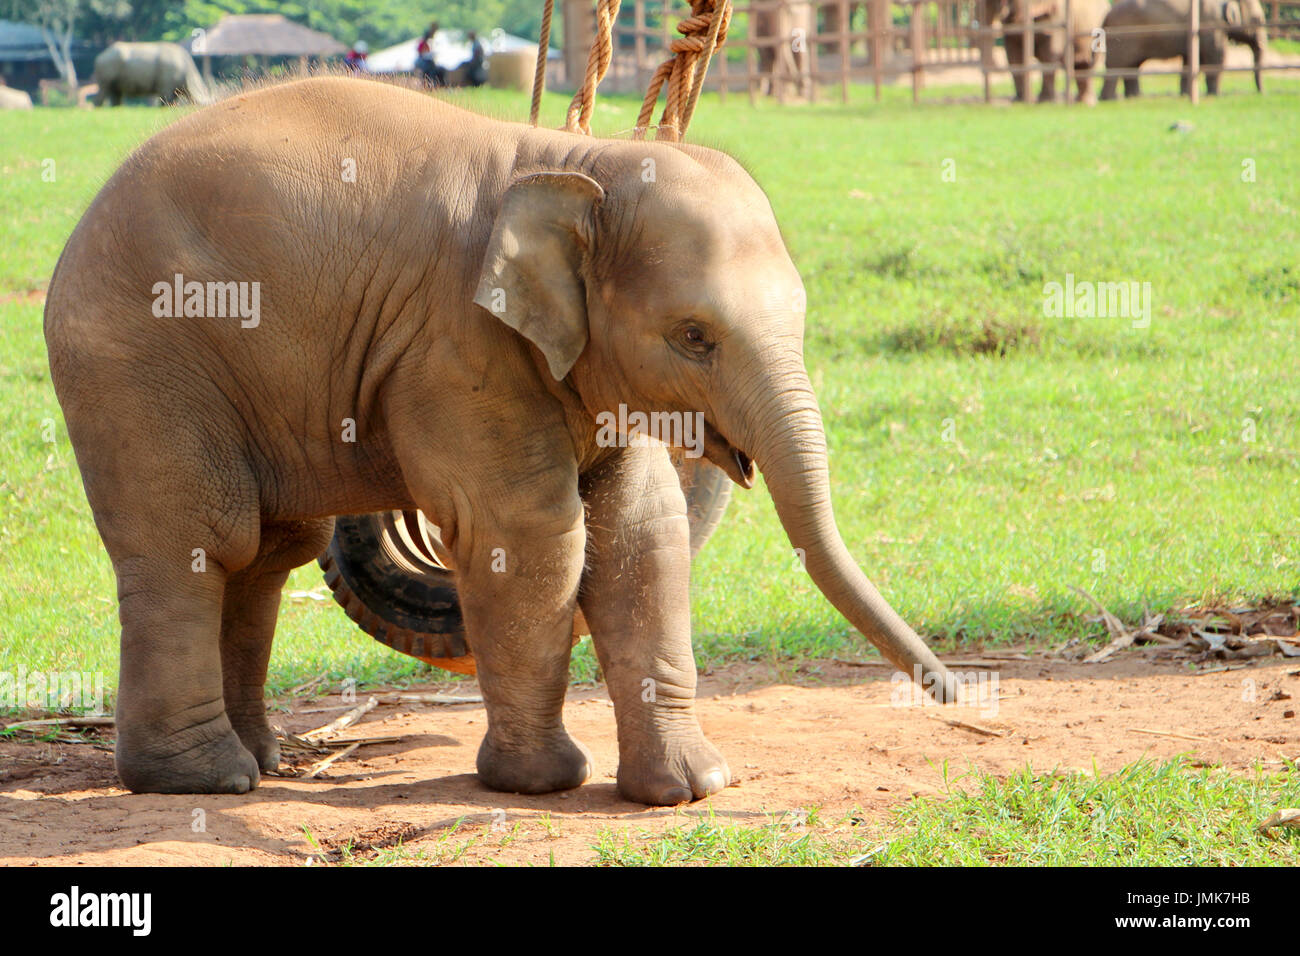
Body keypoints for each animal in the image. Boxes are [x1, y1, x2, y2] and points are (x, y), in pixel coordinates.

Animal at [44, 76, 955, 804]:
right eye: (694, 337)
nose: (952, 694)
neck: (578, 161)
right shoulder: (456, 348)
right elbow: (530, 534)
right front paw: (542, 783)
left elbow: (642, 531)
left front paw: (690, 787)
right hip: (141, 368)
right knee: (196, 542)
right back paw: (203, 779)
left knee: (268, 552)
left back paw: (262, 761)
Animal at [1100, 0, 1267, 99]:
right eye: (1258, 20)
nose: (1261, 93)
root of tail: (1106, 15)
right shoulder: (1211, 25)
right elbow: (1216, 57)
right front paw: (1215, 95)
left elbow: (1190, 60)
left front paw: (1185, 94)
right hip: (1123, 38)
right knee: (1116, 68)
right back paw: (1110, 99)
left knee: (1132, 68)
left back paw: (1134, 97)